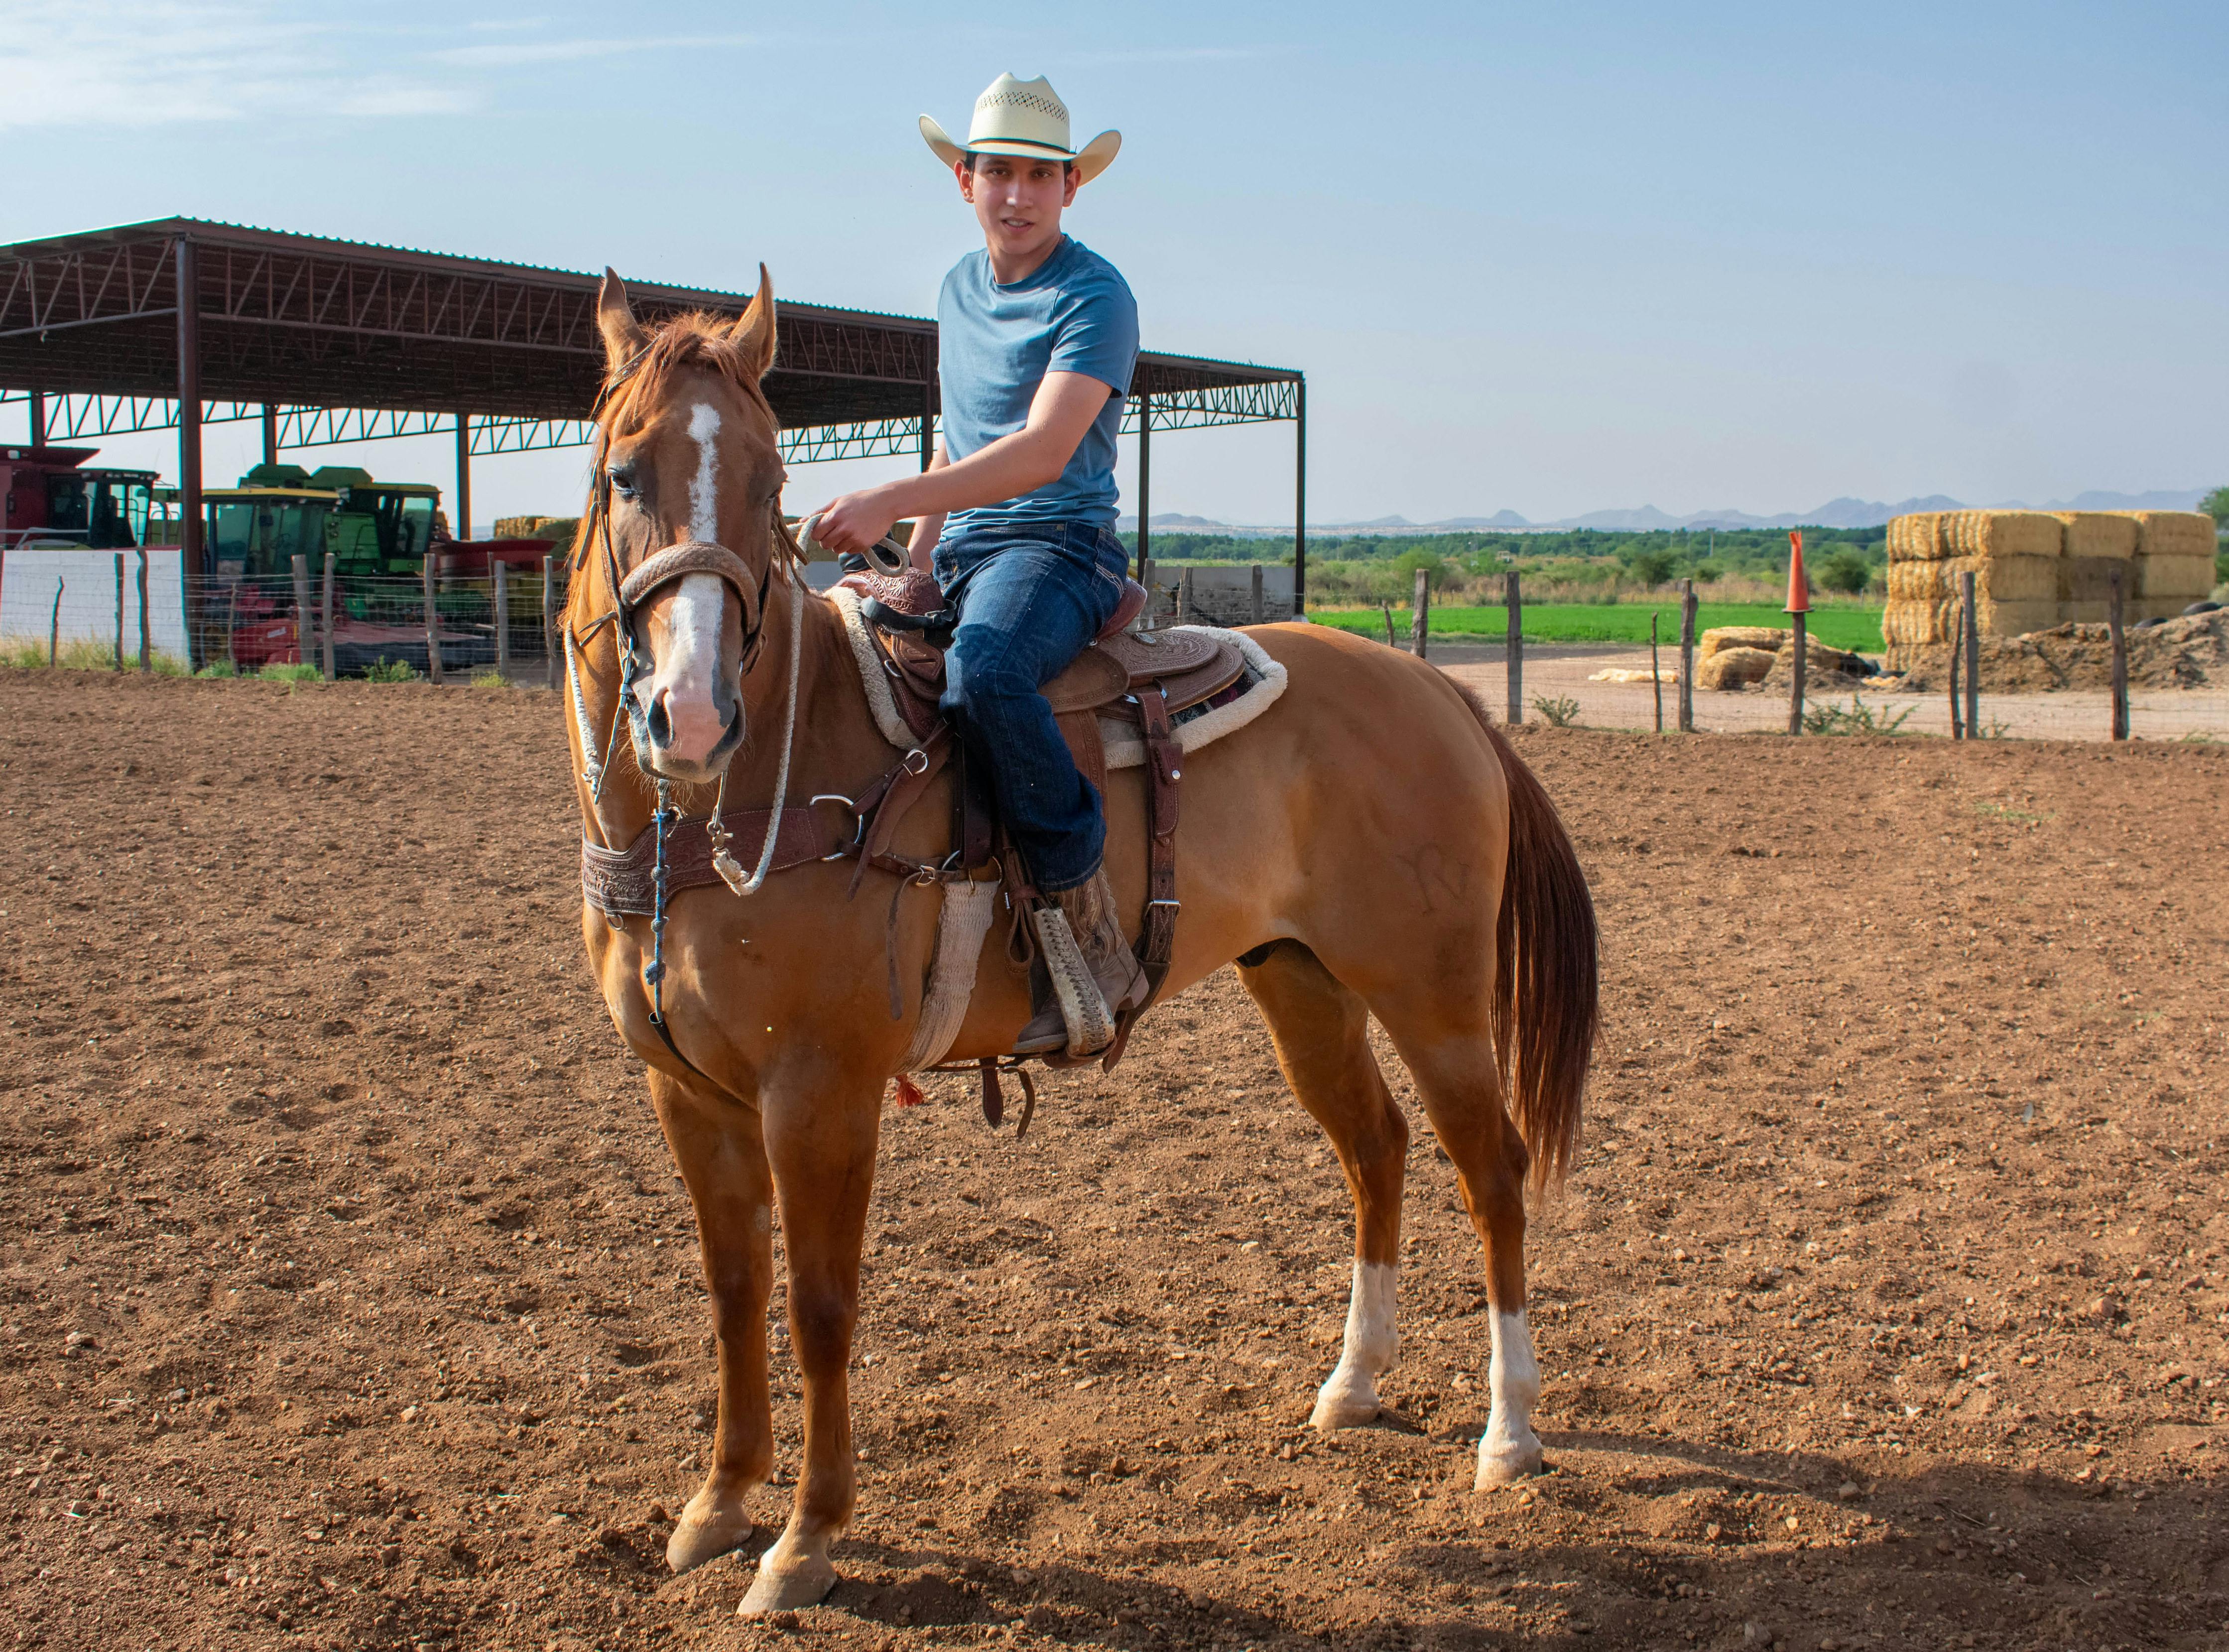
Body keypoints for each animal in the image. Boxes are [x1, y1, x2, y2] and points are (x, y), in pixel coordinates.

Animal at [562, 267, 1599, 1616]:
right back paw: (1353, 1383)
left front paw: (805, 1539)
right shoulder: (686, 1089)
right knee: (1375, 1149)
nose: (691, 715)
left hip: (1433, 991)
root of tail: (1440, 692)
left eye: (770, 477)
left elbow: (820, 1306)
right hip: (1303, 980)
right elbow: (734, 1292)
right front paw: (719, 1502)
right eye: (623, 473)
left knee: (1492, 1170)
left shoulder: (821, 1088)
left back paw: (1509, 1431)